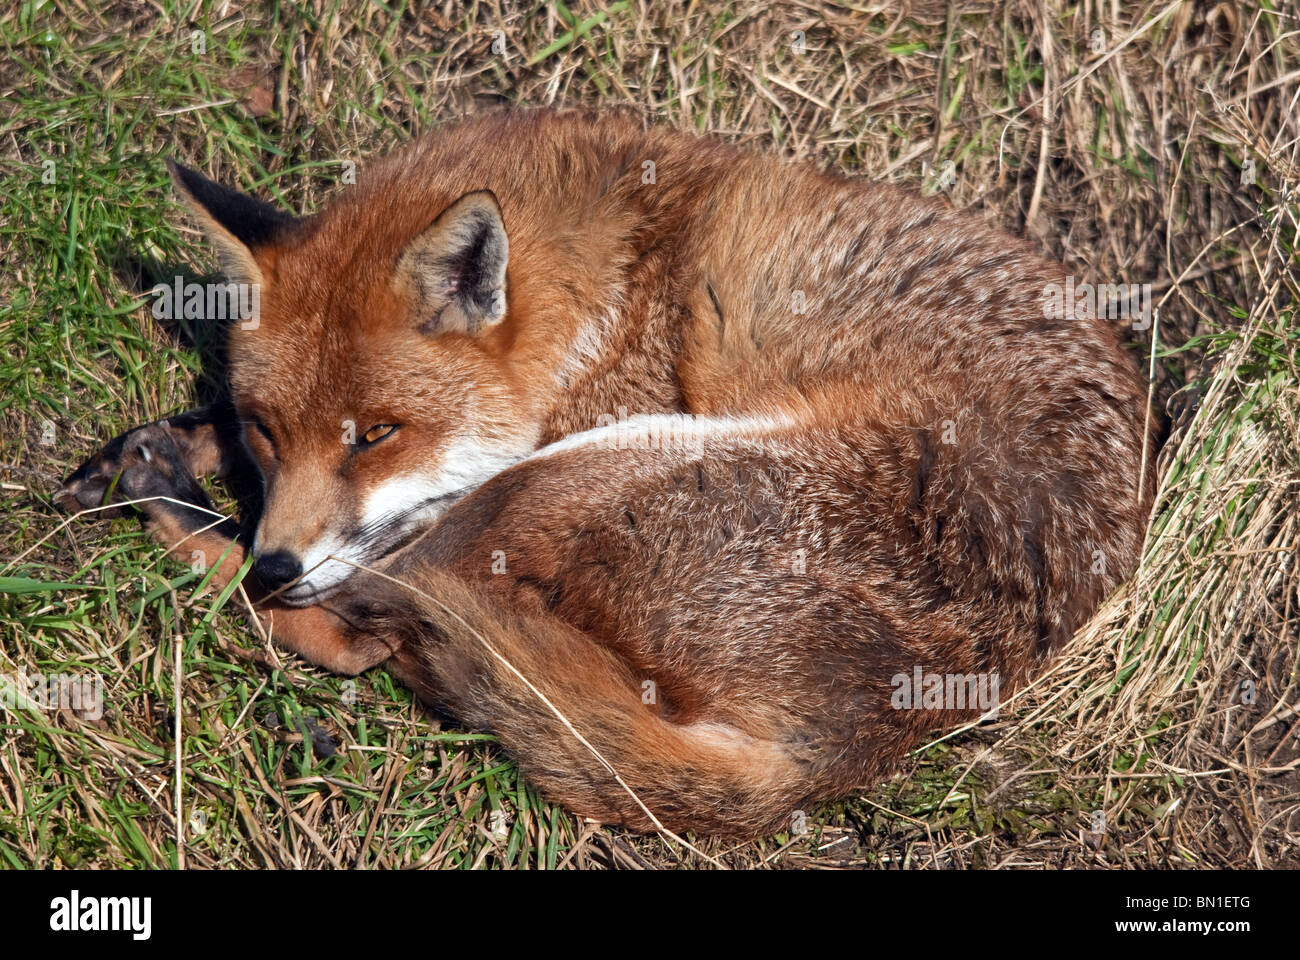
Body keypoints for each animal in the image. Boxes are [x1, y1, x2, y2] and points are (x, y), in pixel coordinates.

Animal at [57, 107, 1153, 837]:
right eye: (268, 431)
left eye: (377, 434)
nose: (277, 561)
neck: (619, 286)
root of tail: (846, 745)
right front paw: (177, 443)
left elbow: (360, 583)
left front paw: (188, 488)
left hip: (601, 466)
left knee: (368, 627)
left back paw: (183, 523)